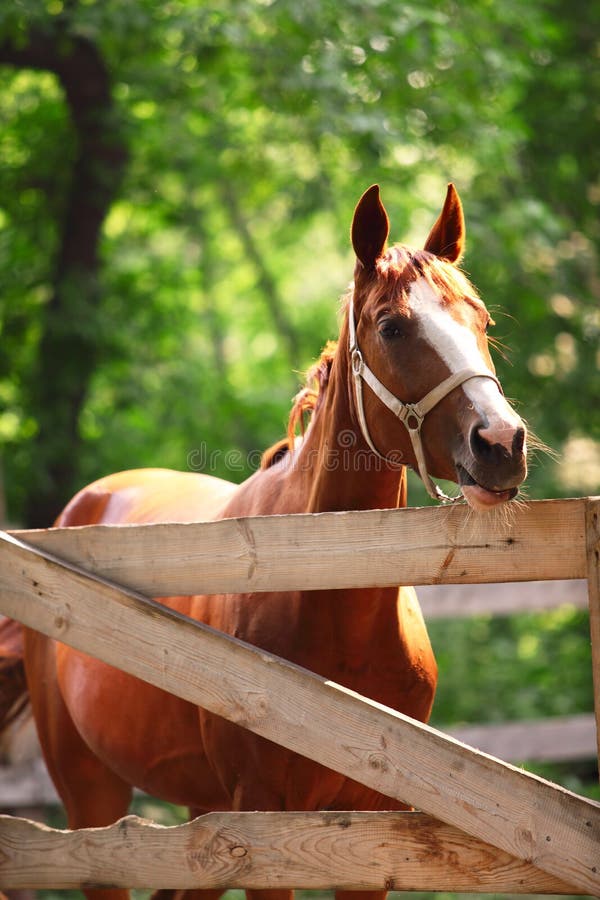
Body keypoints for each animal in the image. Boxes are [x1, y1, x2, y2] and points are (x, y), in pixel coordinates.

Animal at [0, 184, 527, 900]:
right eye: (392, 326)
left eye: (481, 320)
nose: (501, 443)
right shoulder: (265, 832)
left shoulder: (371, 836)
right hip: (93, 803)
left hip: (202, 822)